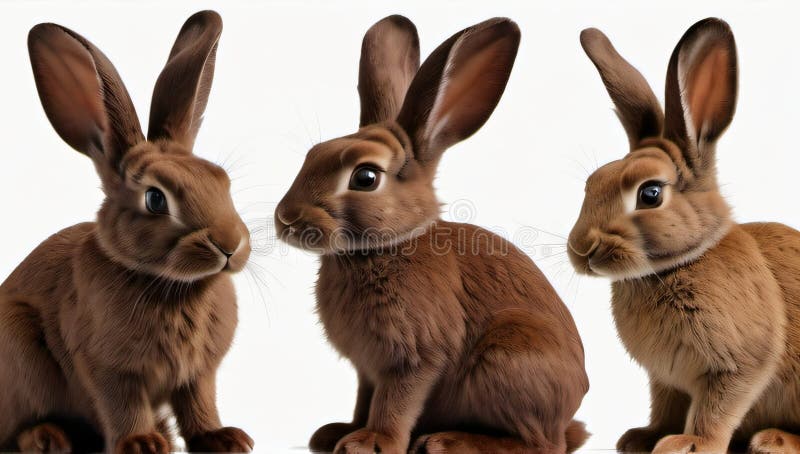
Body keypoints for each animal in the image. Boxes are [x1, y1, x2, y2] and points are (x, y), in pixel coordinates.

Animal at [0, 10, 254, 454]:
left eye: (221, 181)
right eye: (155, 199)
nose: (229, 245)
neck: (174, 286)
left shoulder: (199, 376)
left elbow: (199, 405)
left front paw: (223, 438)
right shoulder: (109, 371)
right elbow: (123, 406)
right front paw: (142, 444)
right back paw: (49, 438)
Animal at [275, 15, 589, 454]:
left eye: (365, 177)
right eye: (312, 155)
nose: (286, 218)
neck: (384, 248)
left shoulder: (415, 357)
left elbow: (395, 403)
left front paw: (371, 442)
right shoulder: (367, 370)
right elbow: (364, 399)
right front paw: (340, 433)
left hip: (507, 358)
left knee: (540, 444)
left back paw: (447, 441)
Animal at [569, 17, 800, 454]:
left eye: (650, 193)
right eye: (592, 183)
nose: (581, 248)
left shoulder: (738, 366)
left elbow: (716, 409)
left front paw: (689, 444)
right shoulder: (665, 378)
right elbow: (666, 405)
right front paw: (642, 438)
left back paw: (775, 440)